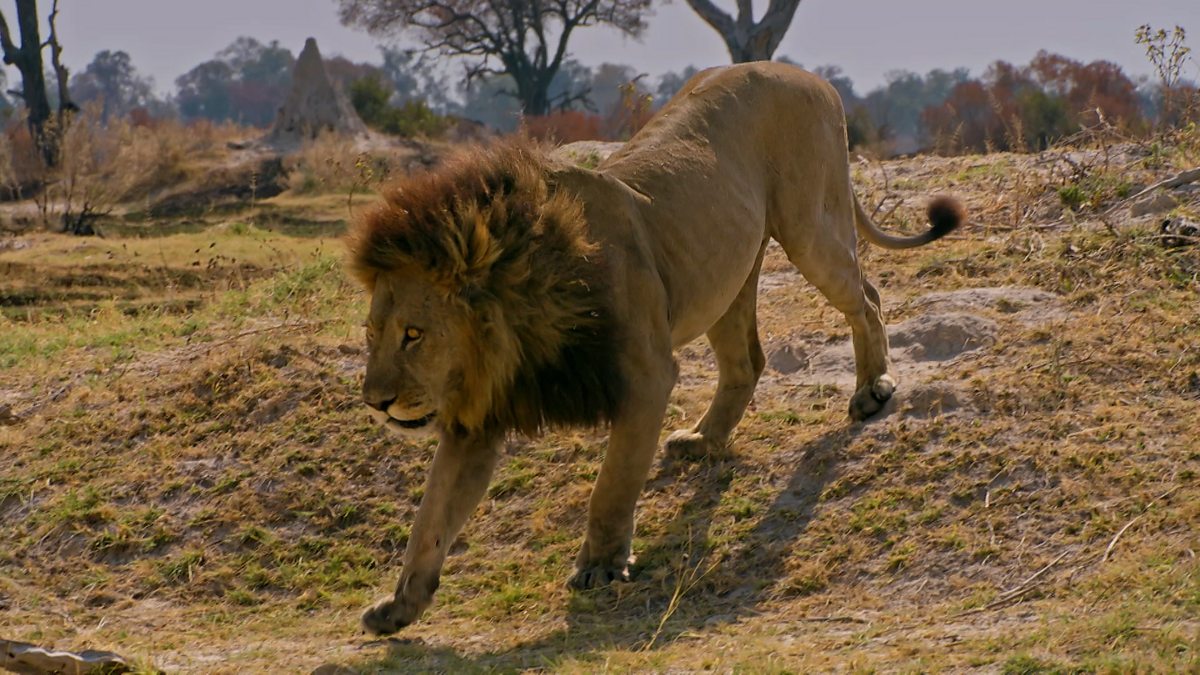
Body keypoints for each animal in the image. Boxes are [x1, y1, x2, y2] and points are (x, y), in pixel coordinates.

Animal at [347, 61, 964, 635]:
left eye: (413, 334)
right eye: (372, 334)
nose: (375, 403)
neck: (518, 324)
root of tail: (810, 75)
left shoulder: (645, 377)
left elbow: (612, 485)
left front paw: (599, 567)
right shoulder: (476, 418)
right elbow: (431, 519)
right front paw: (399, 606)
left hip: (810, 226)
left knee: (868, 295)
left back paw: (872, 389)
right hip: (725, 273)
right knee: (747, 360)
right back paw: (704, 439)